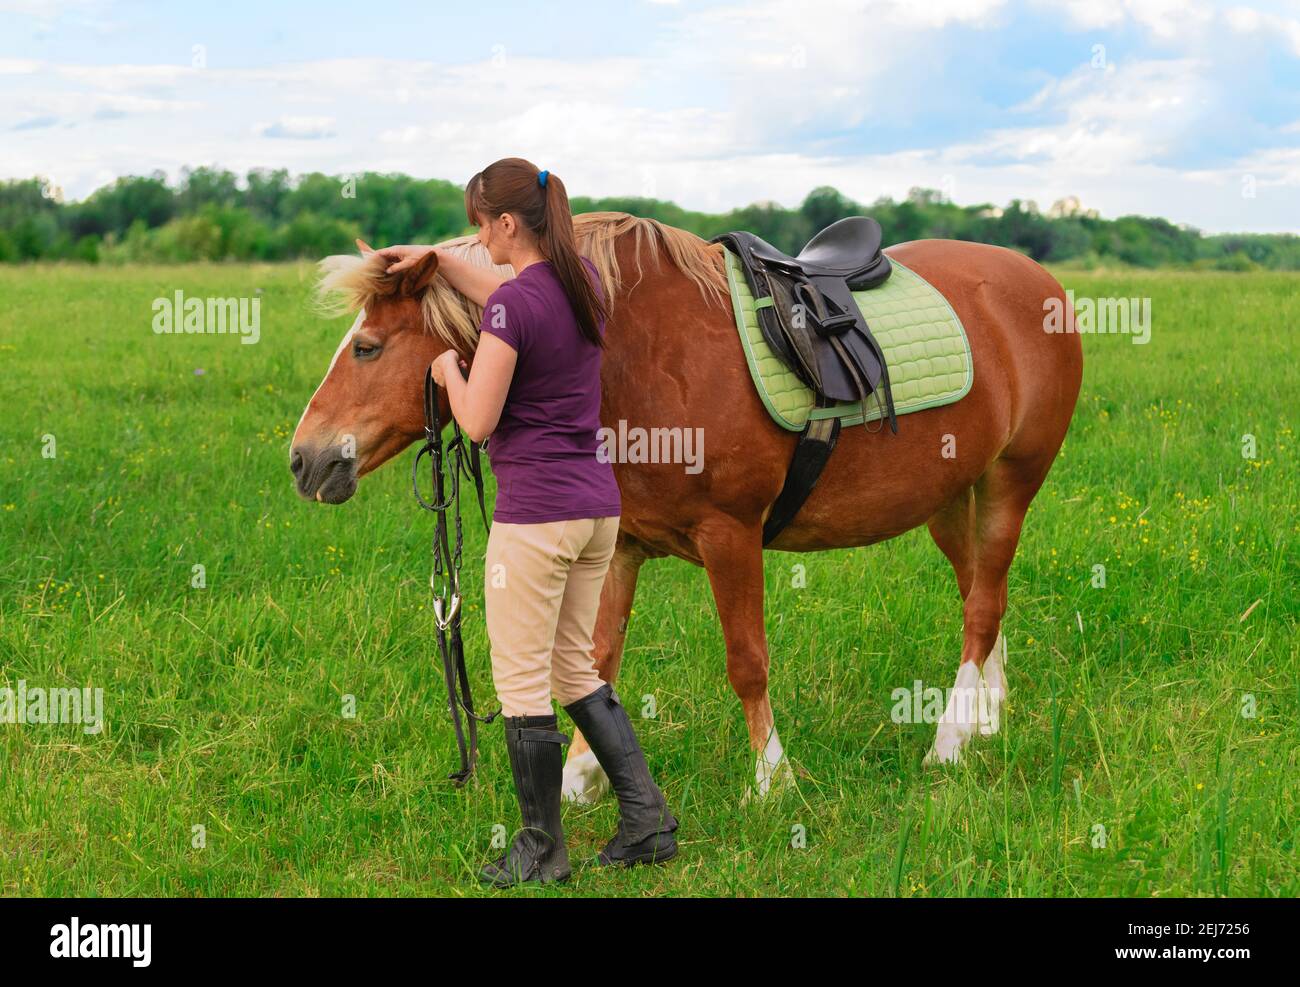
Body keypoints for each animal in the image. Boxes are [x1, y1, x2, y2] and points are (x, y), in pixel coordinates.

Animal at [290, 212, 1082, 802]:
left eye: (366, 347)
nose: (304, 460)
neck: (632, 355)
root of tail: (1036, 278)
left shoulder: (729, 535)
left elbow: (747, 661)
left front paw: (772, 781)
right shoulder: (619, 545)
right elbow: (596, 660)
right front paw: (581, 778)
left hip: (1011, 483)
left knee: (983, 605)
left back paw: (948, 740)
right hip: (951, 498)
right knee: (982, 593)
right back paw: (985, 718)